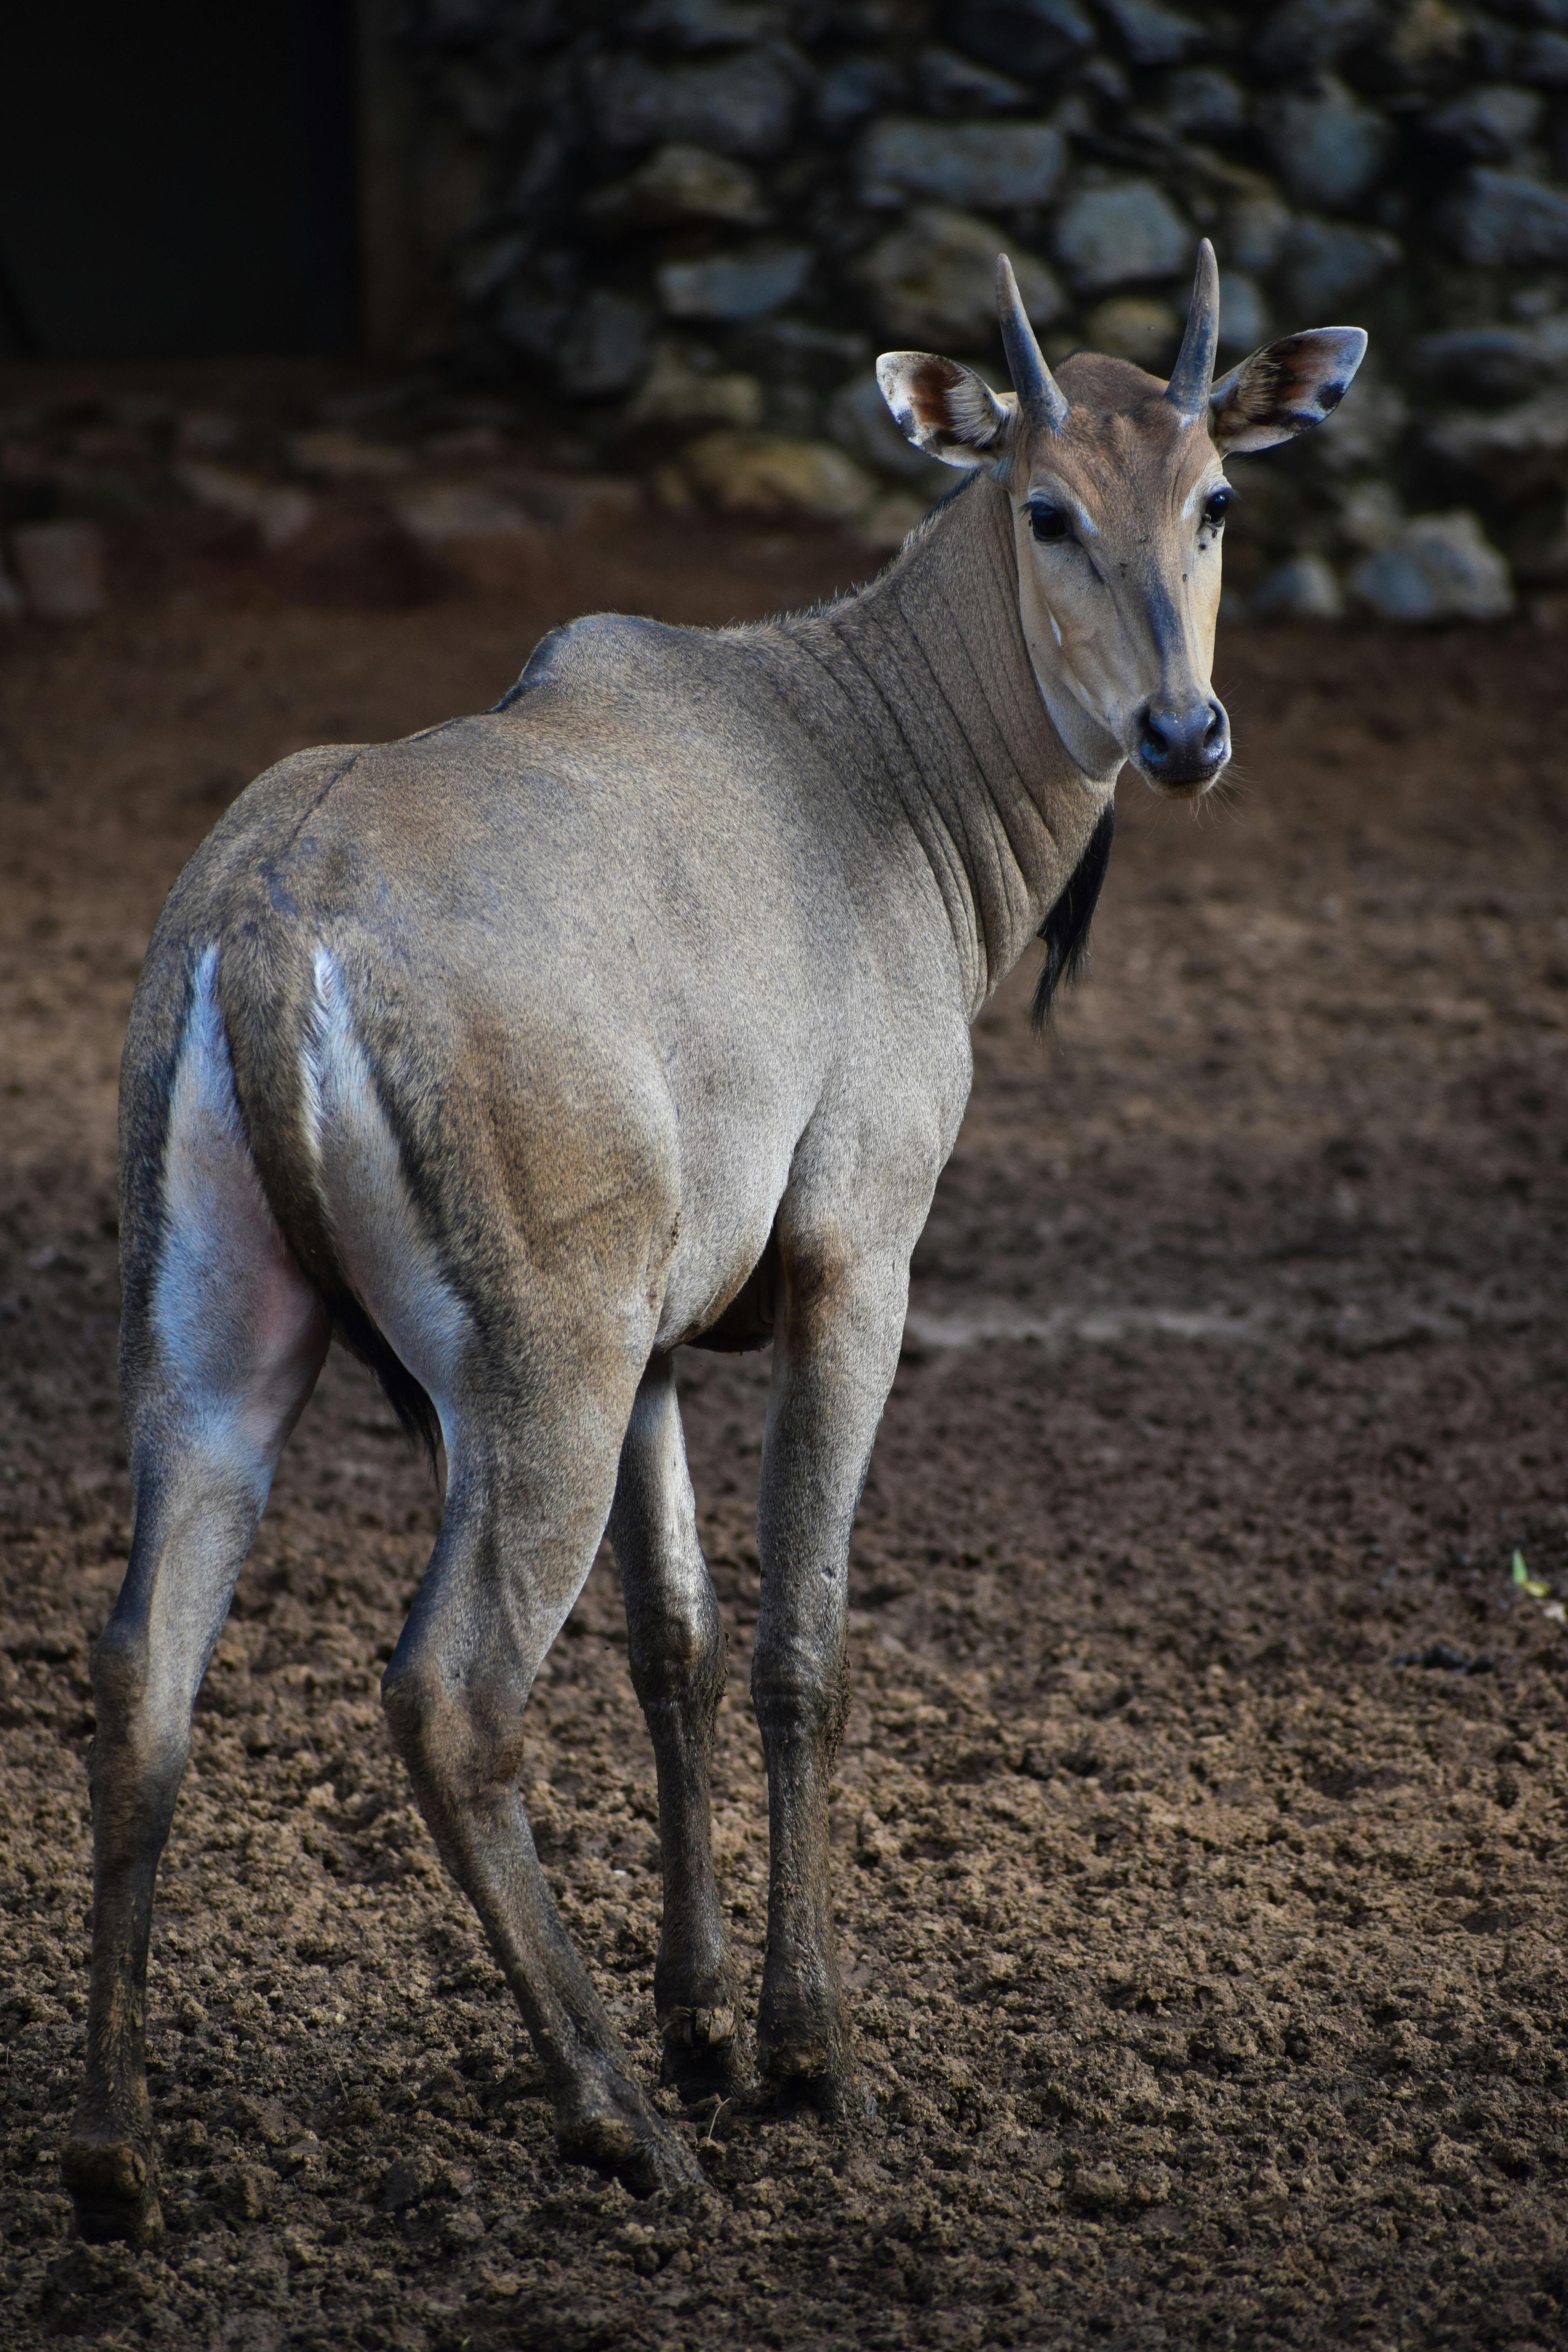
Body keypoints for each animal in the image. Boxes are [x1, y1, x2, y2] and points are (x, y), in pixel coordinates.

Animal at [64, 243, 1363, 2239]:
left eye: (1215, 496)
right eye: (1044, 507)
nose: (1179, 733)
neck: (871, 761)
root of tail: (276, 926)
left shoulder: (677, 1346)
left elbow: (667, 1644)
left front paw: (700, 2023)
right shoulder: (850, 1264)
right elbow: (795, 1651)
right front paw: (802, 2055)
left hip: (225, 1342)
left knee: (143, 1674)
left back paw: (119, 2154)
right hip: (542, 1363)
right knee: (449, 1688)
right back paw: (617, 2124)